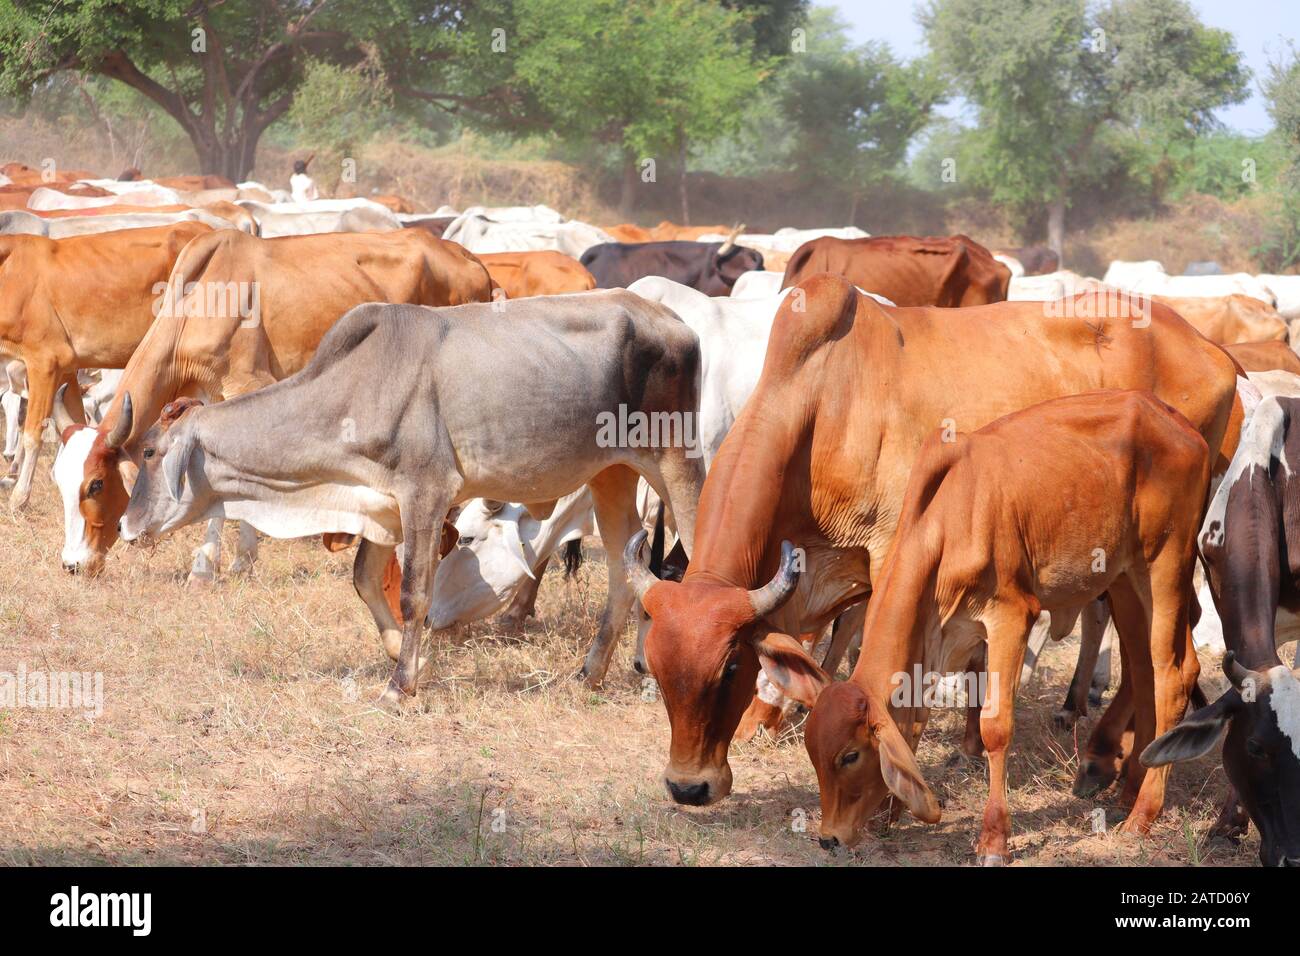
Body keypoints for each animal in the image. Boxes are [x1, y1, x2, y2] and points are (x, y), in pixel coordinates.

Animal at [52, 228, 494, 579]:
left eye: (96, 484)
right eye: (58, 481)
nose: (73, 564)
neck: (201, 295)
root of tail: (469, 257)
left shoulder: (248, 385)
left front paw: (217, 566)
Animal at [117, 291, 707, 702]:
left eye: (148, 452)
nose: (124, 526)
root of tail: (676, 322)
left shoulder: (425, 493)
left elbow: (413, 594)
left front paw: (400, 686)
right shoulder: (381, 505)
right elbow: (363, 579)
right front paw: (409, 659)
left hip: (676, 461)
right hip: (612, 473)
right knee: (624, 565)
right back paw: (591, 673)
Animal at [622, 276, 1240, 808]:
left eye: (729, 668)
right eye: (653, 666)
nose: (688, 787)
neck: (821, 404)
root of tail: (1213, 350)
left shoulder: (894, 551)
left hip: (1156, 556)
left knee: (1160, 650)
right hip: (1126, 565)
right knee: (1143, 650)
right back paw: (1114, 766)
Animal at [804, 390, 1210, 862]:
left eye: (849, 756)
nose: (828, 837)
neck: (951, 520)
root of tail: (1179, 423)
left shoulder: (1011, 616)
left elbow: (995, 727)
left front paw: (994, 839)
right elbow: (915, 716)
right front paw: (891, 810)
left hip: (1166, 565)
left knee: (1172, 677)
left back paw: (1143, 813)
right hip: (1125, 580)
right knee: (1144, 673)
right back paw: (1128, 791)